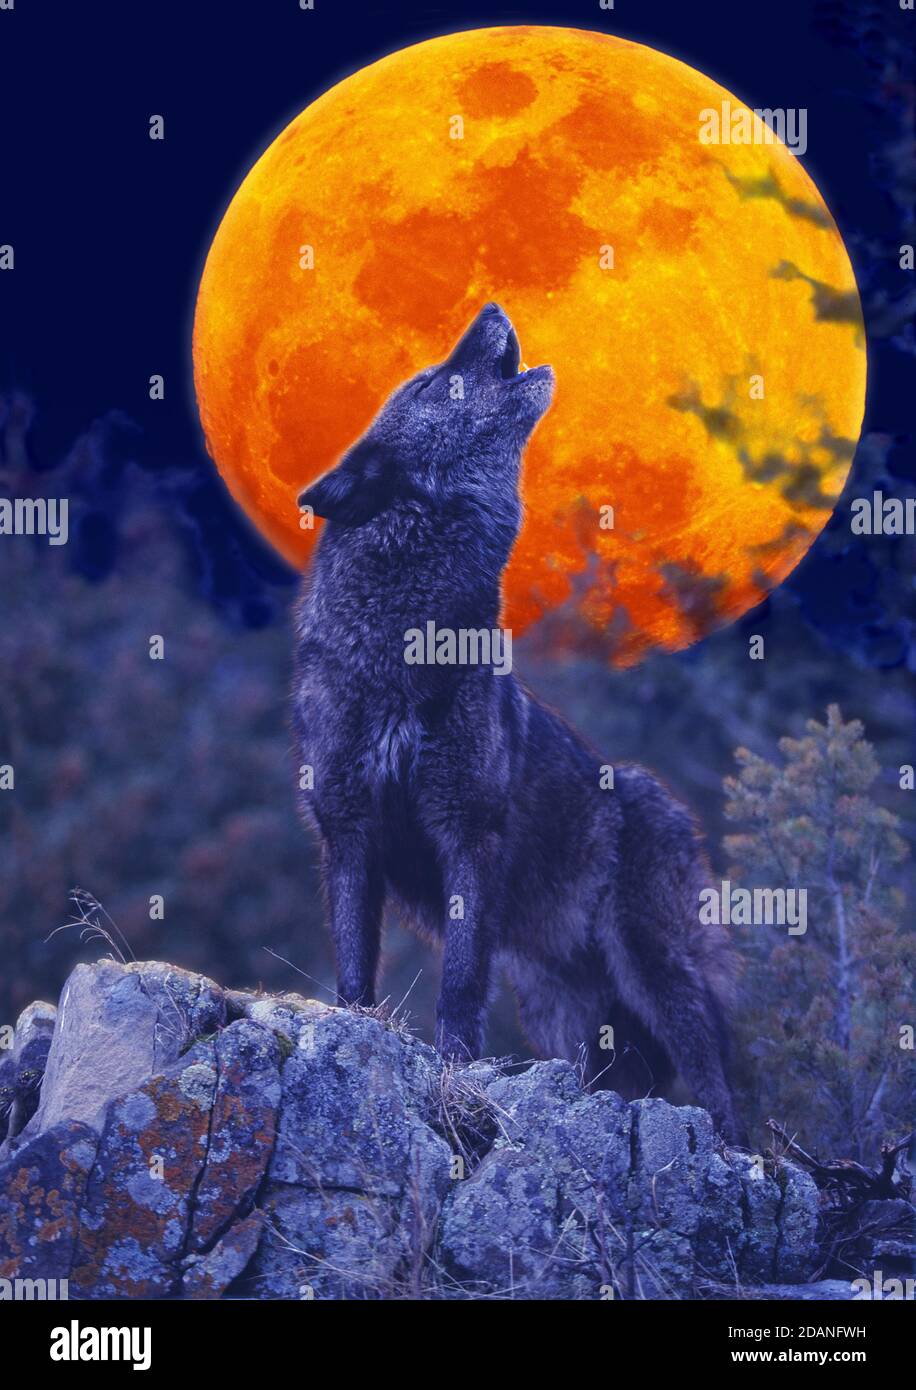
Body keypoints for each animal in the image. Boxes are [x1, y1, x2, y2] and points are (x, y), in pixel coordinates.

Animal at [293, 303, 738, 1139]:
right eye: (432, 382)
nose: (493, 307)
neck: (406, 643)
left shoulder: (468, 830)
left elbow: (462, 980)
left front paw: (457, 1069)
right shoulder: (349, 831)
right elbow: (354, 967)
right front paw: (356, 1038)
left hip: (650, 965)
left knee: (716, 1077)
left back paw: (735, 1152)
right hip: (562, 1004)